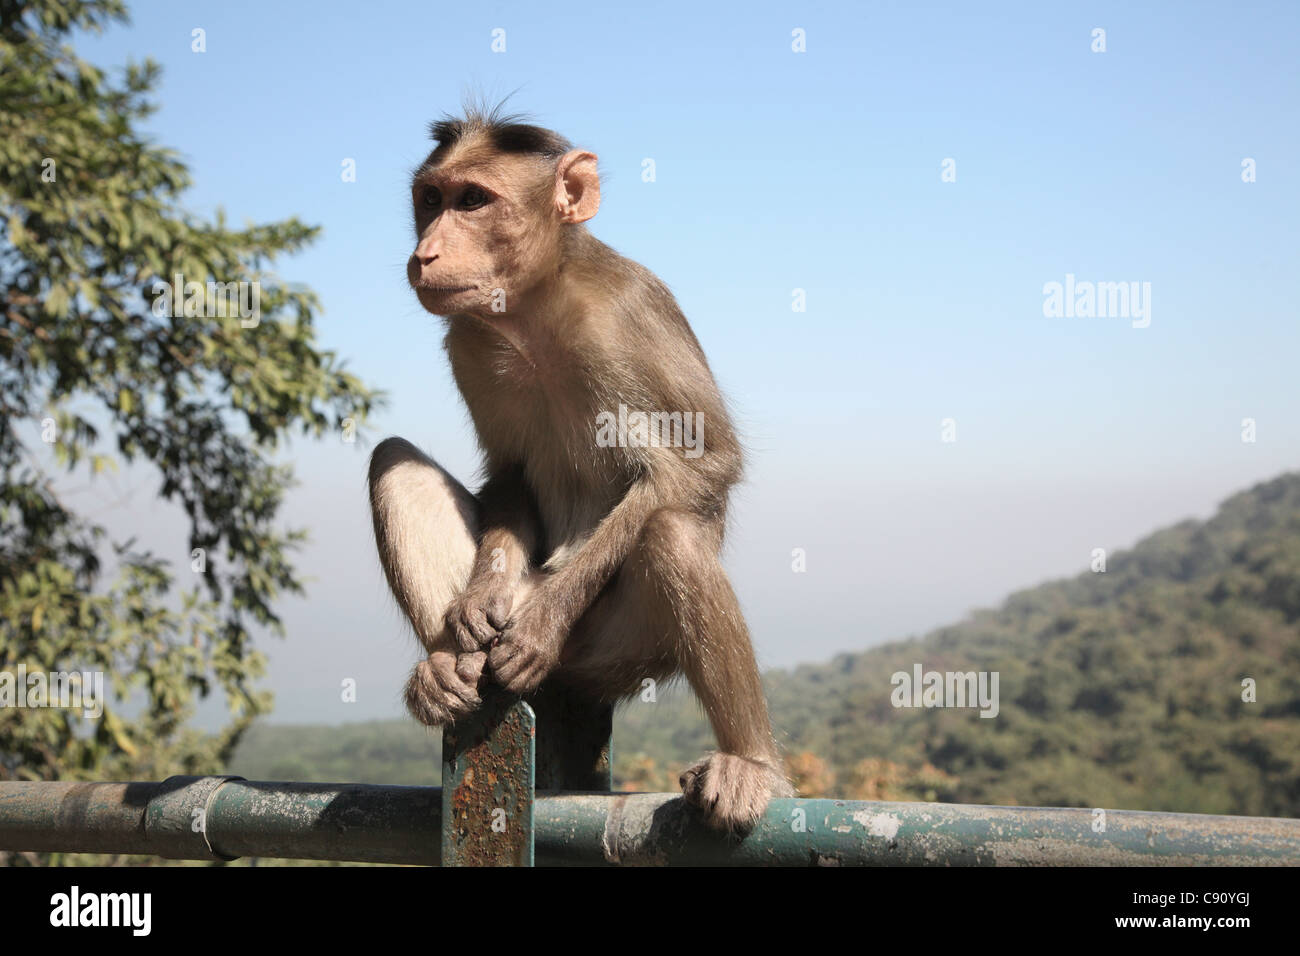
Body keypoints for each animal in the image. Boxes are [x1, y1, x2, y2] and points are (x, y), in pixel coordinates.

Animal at [368, 104, 792, 831]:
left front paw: (540, 620)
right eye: (430, 200)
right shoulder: (468, 338)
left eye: (472, 200)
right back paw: (449, 675)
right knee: (391, 461)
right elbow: (508, 469)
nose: (425, 254)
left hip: (610, 655)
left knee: (672, 535)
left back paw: (748, 762)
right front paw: (484, 598)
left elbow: (703, 463)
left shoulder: (631, 312)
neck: (533, 310)